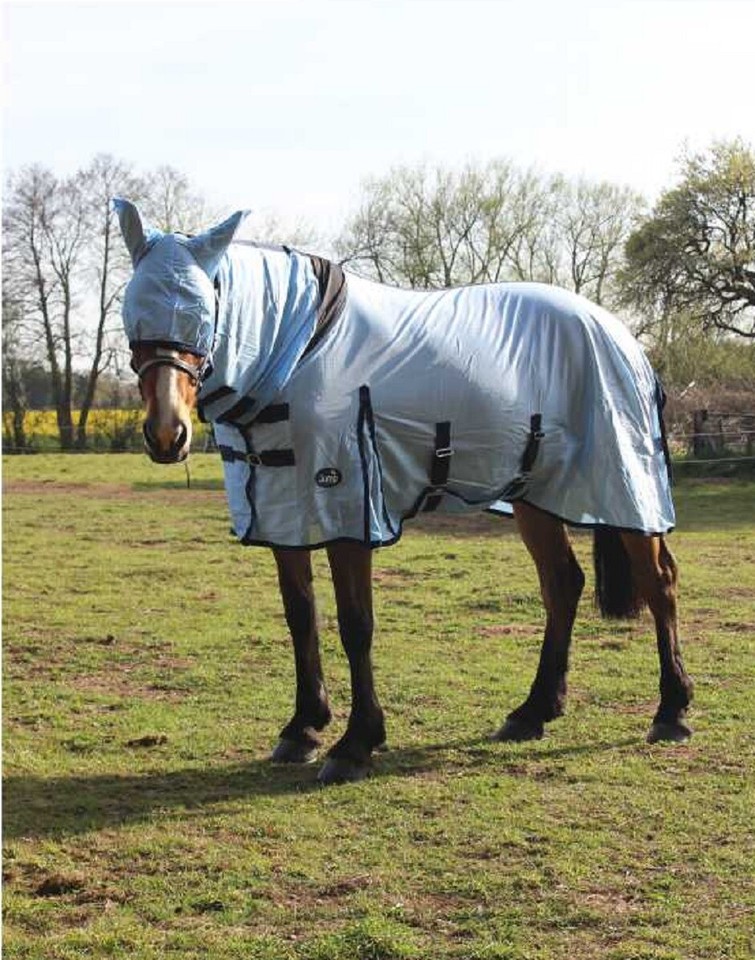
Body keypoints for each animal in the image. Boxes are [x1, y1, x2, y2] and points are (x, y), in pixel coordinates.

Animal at [114, 198, 694, 785]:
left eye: (200, 309)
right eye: (132, 309)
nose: (166, 433)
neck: (300, 350)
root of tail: (620, 335)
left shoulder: (350, 510)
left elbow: (356, 624)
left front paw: (355, 743)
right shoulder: (284, 513)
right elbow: (301, 617)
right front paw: (303, 728)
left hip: (626, 486)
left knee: (658, 582)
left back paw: (670, 712)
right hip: (534, 496)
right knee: (563, 585)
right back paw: (532, 712)